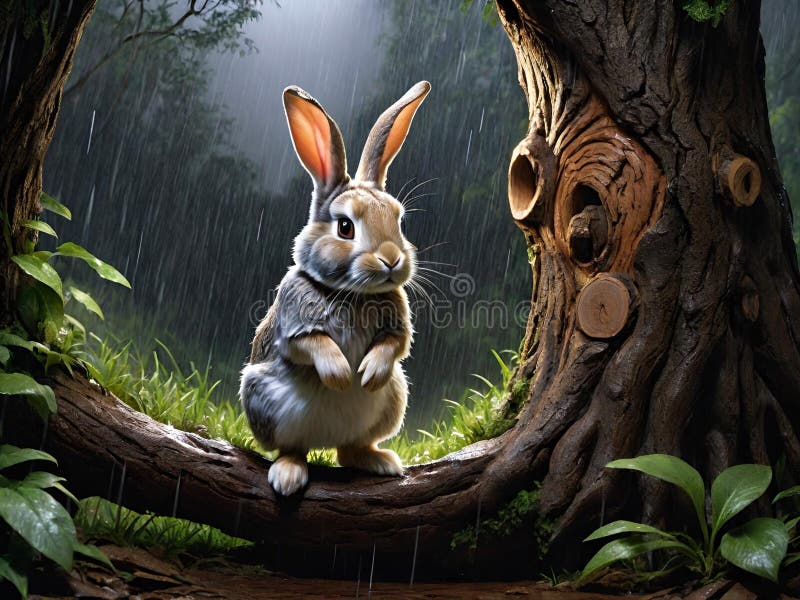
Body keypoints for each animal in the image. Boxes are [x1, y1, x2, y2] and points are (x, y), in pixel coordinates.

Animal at [239, 81, 431, 496]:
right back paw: (288, 474)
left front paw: (368, 374)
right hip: (264, 398)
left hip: (394, 396)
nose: (391, 259)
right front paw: (342, 376)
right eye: (345, 227)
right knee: (293, 448)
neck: (351, 293)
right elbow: (312, 343)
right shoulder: (293, 321)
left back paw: (381, 462)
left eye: (398, 220)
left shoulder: (396, 328)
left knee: (350, 450)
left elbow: (394, 345)